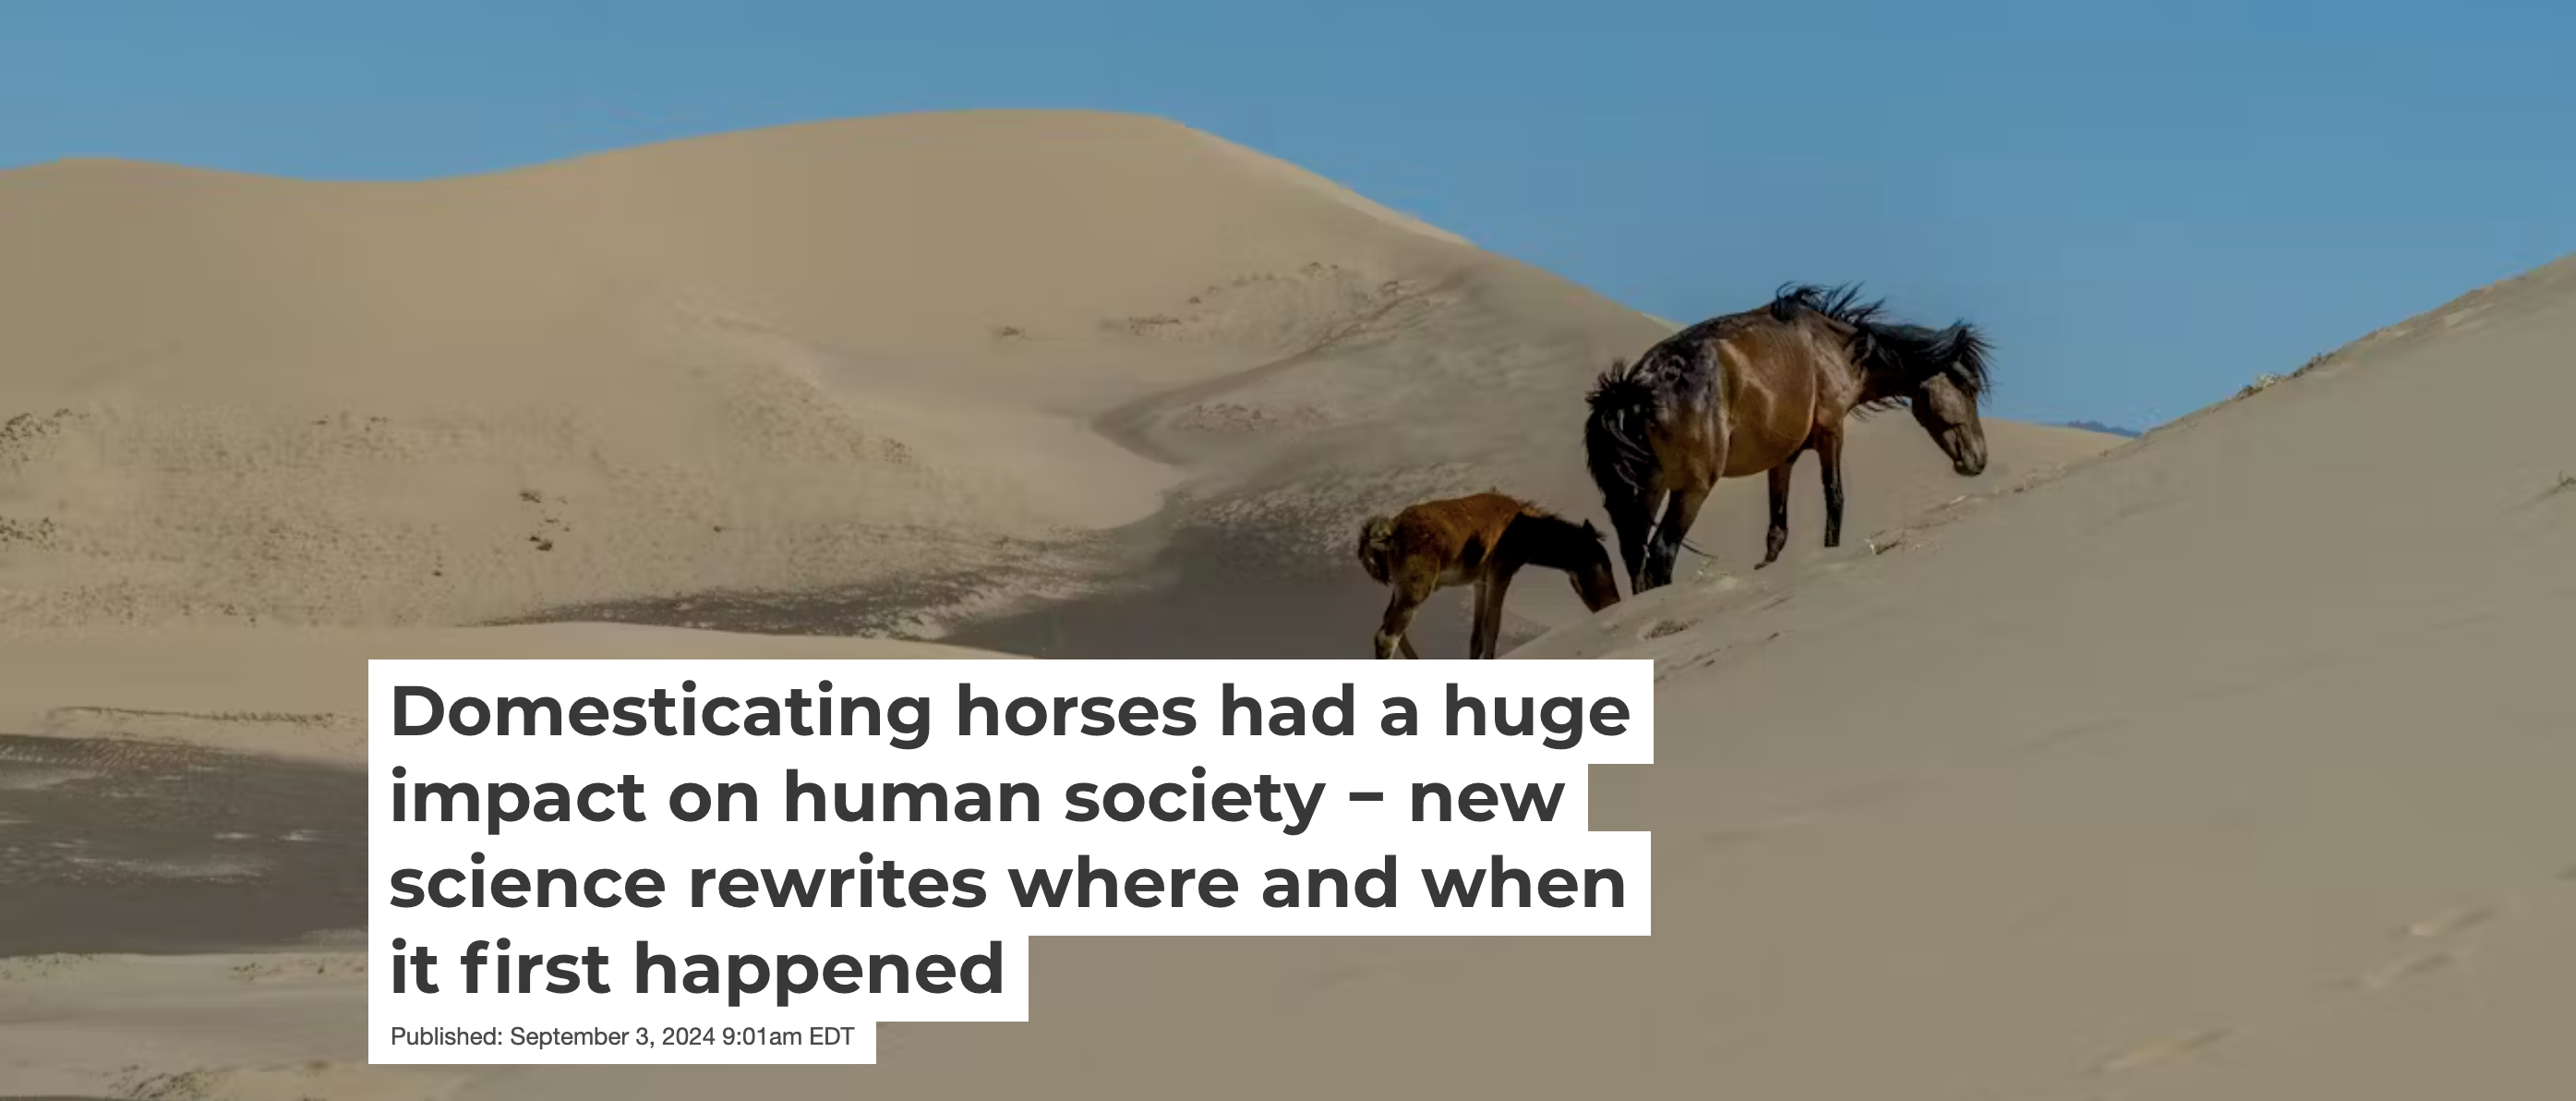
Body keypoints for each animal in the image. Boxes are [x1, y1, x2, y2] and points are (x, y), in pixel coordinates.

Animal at [1353, 491, 1623, 659]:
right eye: (1603, 563)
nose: (1614, 601)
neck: (1528, 535)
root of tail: (1387, 534)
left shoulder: (1480, 582)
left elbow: (1477, 636)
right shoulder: (1501, 573)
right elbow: (1493, 627)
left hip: (1402, 589)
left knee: (1389, 626)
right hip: (1416, 589)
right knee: (1386, 637)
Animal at [1581, 282, 1994, 593]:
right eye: (1968, 388)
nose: (1979, 460)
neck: (1837, 349)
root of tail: (1634, 388)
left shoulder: (1782, 459)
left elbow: (1777, 531)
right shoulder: (1831, 431)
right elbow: (1835, 500)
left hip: (1647, 489)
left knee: (1635, 556)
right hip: (1692, 487)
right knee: (1662, 552)